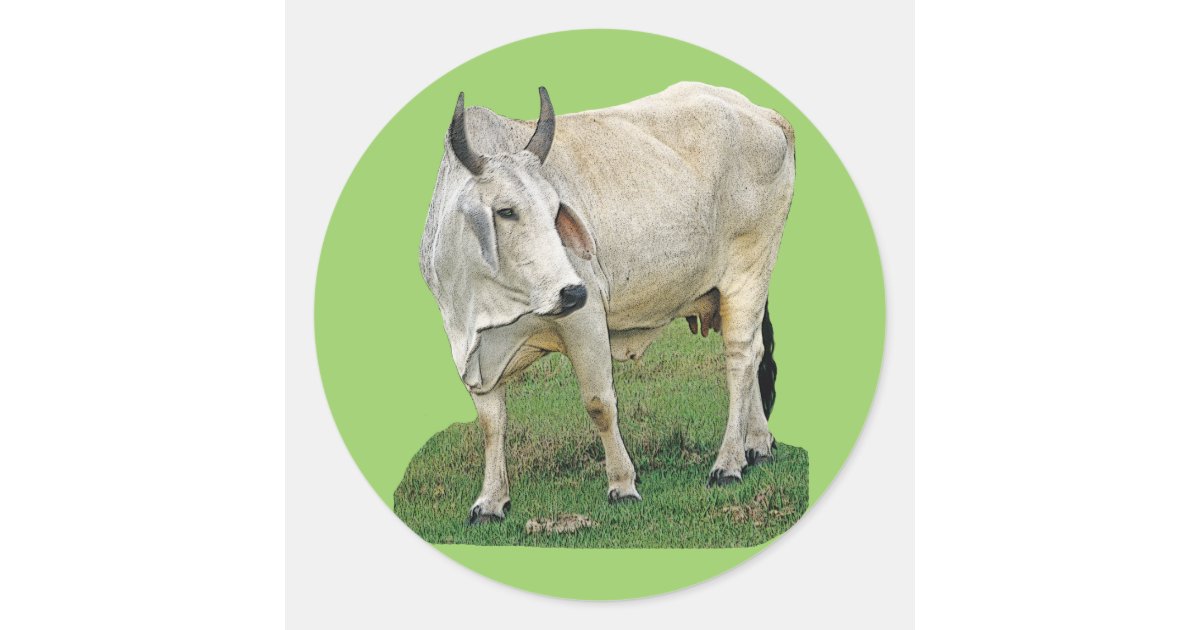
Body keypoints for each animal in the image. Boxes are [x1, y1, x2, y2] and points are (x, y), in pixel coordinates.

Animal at [418, 82, 795, 524]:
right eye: (506, 211)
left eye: (555, 211)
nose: (572, 291)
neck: (487, 307)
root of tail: (765, 114)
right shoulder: (471, 351)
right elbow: (492, 423)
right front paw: (491, 502)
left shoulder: (585, 321)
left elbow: (599, 403)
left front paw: (623, 485)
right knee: (755, 353)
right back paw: (758, 445)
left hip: (749, 272)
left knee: (740, 358)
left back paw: (729, 463)